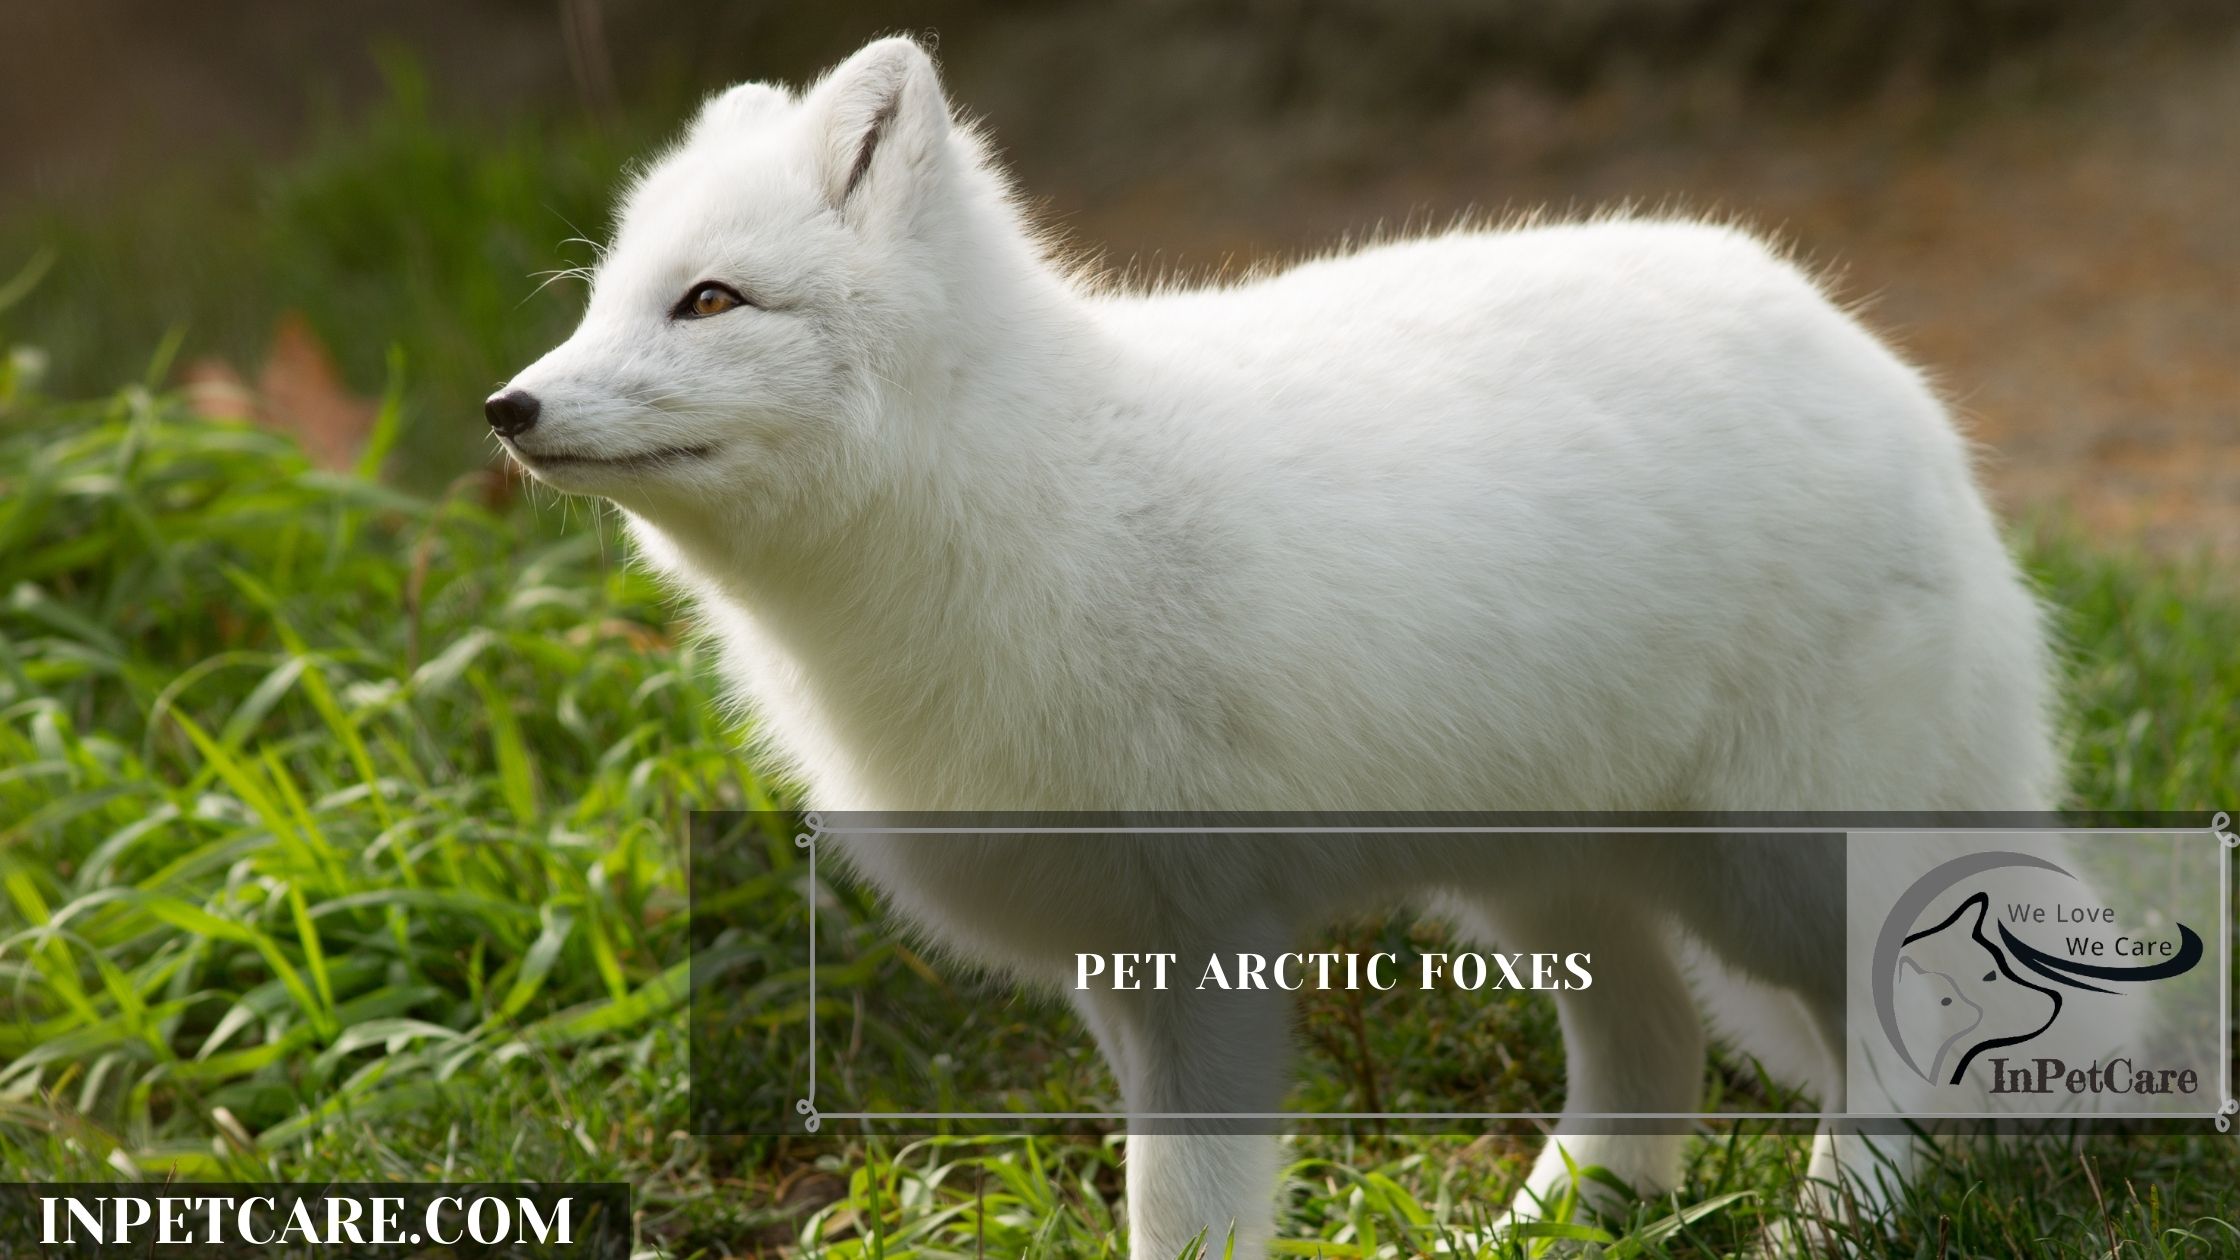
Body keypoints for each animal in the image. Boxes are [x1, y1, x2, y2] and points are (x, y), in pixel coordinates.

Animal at [490, 36, 2071, 1258]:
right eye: (601, 299)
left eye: (710, 302)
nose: (507, 408)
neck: (1027, 509)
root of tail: (1873, 366)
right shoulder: (1114, 960)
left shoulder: (1206, 944)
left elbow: (1184, 1206)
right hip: (1541, 886)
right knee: (1659, 1046)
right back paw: (1550, 1228)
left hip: (1769, 866)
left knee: (1892, 1037)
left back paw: (1831, 1227)